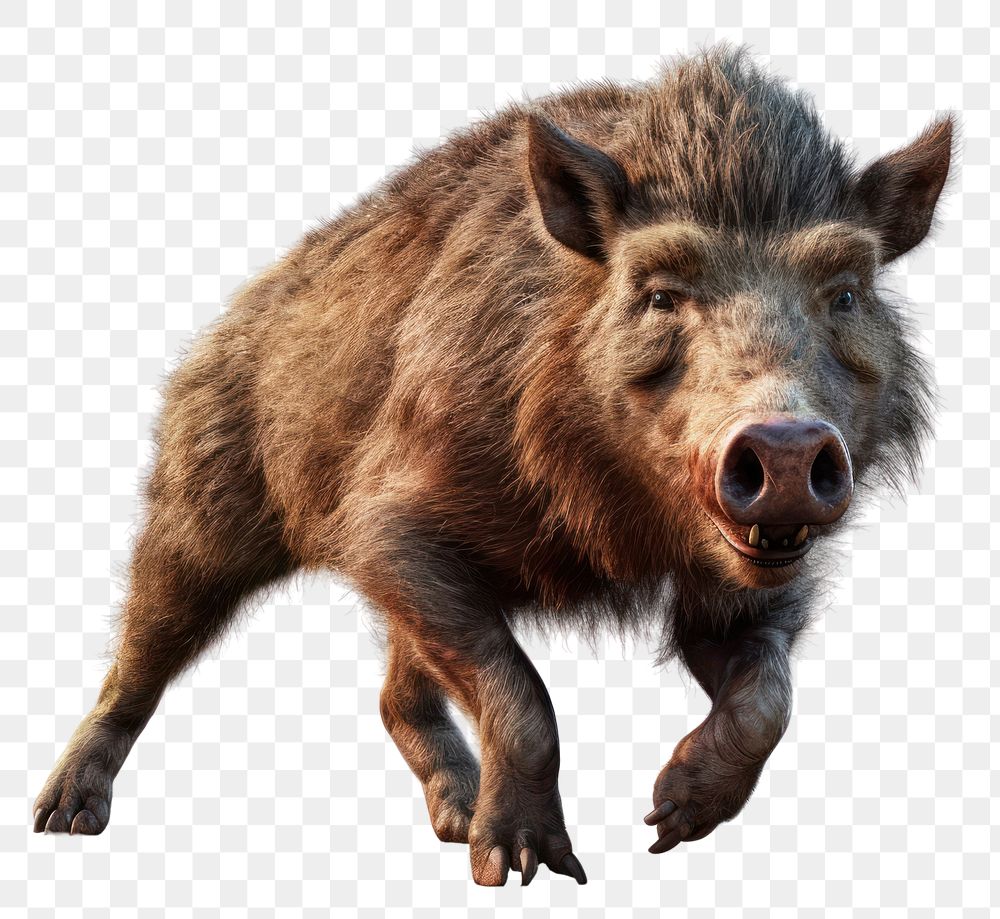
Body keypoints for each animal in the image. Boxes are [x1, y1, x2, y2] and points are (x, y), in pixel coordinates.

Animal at [33, 44, 954, 886]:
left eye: (844, 291)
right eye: (660, 292)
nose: (787, 444)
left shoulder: (749, 581)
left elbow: (769, 694)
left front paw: (667, 822)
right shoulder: (387, 522)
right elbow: (519, 687)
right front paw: (524, 868)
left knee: (395, 690)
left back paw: (451, 820)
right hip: (199, 498)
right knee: (145, 643)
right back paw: (64, 817)